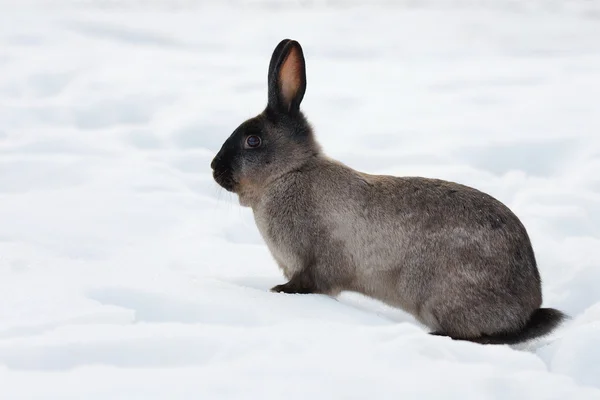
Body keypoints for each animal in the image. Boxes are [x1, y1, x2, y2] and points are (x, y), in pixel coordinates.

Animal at [211, 38, 568, 344]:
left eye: (253, 141)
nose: (214, 168)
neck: (288, 173)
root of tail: (526, 310)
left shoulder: (313, 262)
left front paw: (280, 291)